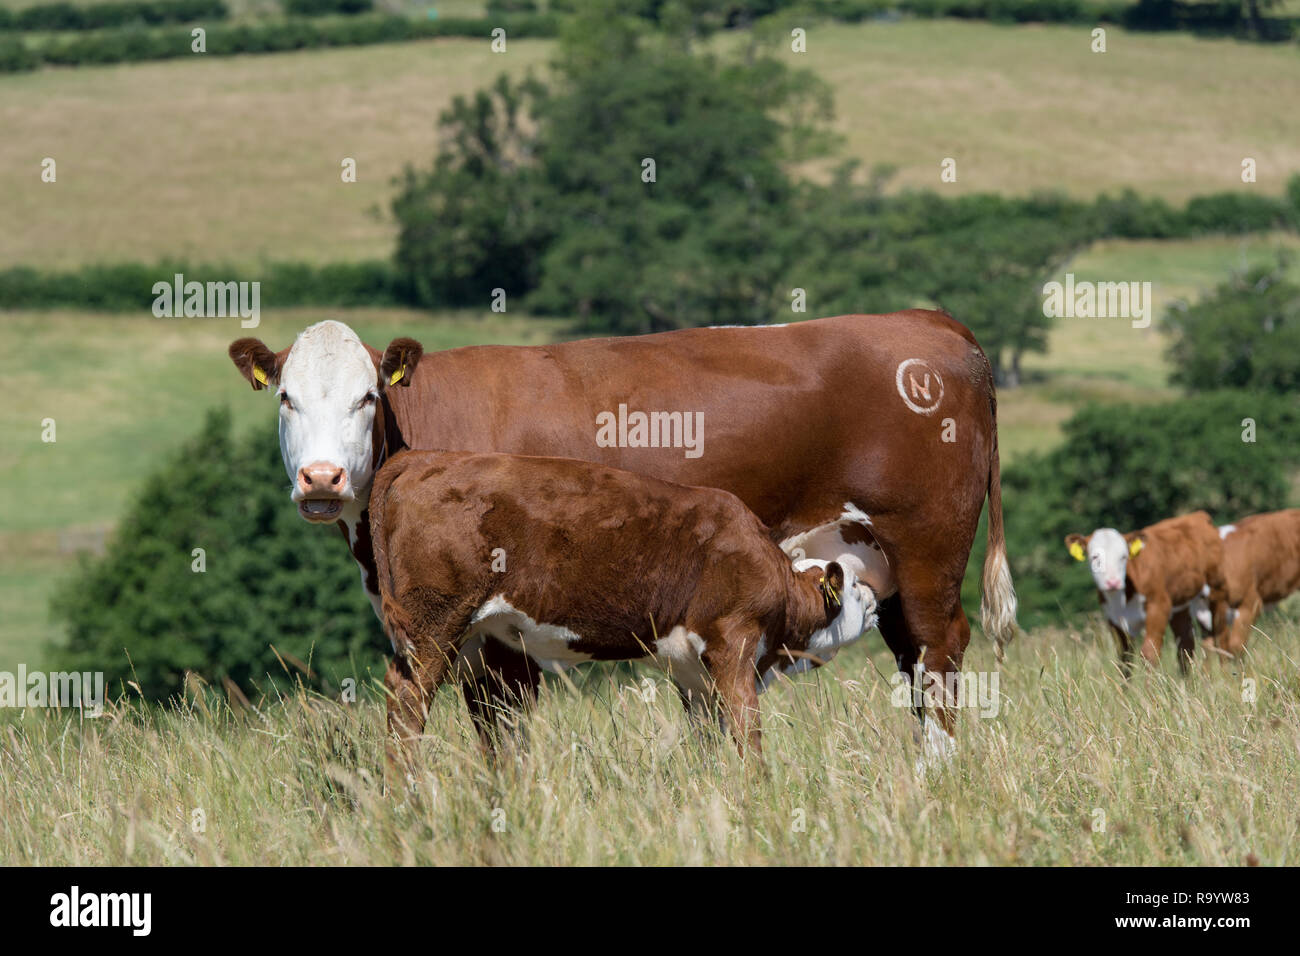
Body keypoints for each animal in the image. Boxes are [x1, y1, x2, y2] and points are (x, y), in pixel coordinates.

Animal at [368, 448, 878, 769]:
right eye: (853, 584)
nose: (875, 598)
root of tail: (426, 458)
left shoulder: (693, 671)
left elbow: (709, 735)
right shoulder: (734, 640)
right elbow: (746, 728)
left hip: (471, 638)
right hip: (434, 622)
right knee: (407, 700)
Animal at [1064, 511, 1231, 676]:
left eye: (1124, 556)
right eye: (1095, 557)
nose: (1113, 582)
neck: (1123, 599)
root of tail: (1198, 515)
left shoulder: (1158, 608)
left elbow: (1149, 654)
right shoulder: (1113, 618)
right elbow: (1124, 659)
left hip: (1217, 592)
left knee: (1221, 638)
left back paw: (1225, 677)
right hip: (1180, 605)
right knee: (1186, 645)